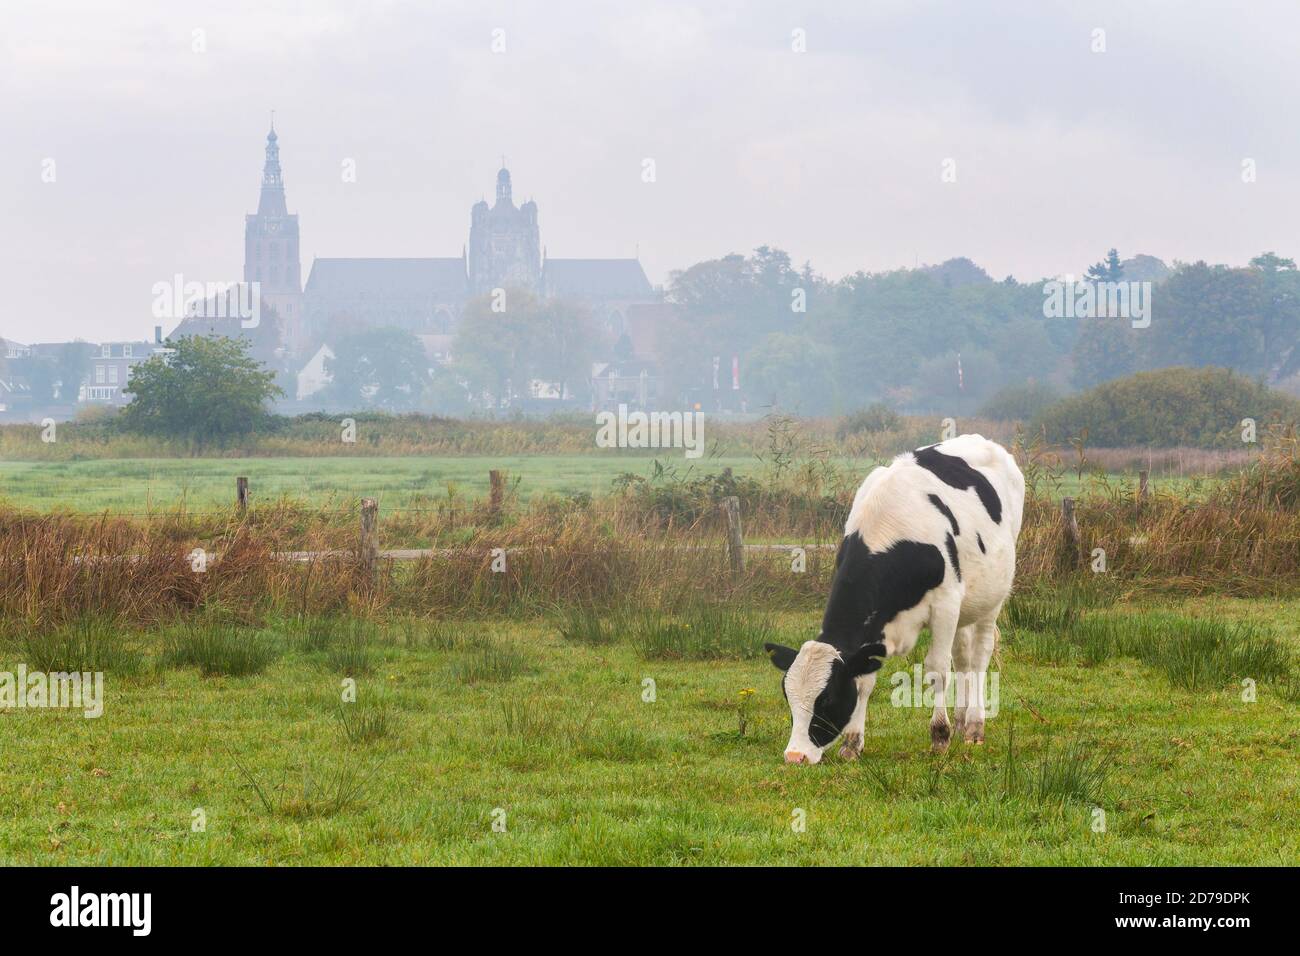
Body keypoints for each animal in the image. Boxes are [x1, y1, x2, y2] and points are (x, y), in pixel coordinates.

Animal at [764, 434, 1024, 764]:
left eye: (827, 700)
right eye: (788, 697)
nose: (795, 756)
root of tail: (980, 439)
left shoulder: (945, 603)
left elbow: (938, 670)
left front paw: (940, 736)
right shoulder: (875, 632)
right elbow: (865, 680)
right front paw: (853, 743)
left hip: (993, 597)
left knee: (979, 656)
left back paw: (975, 727)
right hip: (967, 604)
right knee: (963, 655)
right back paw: (962, 720)